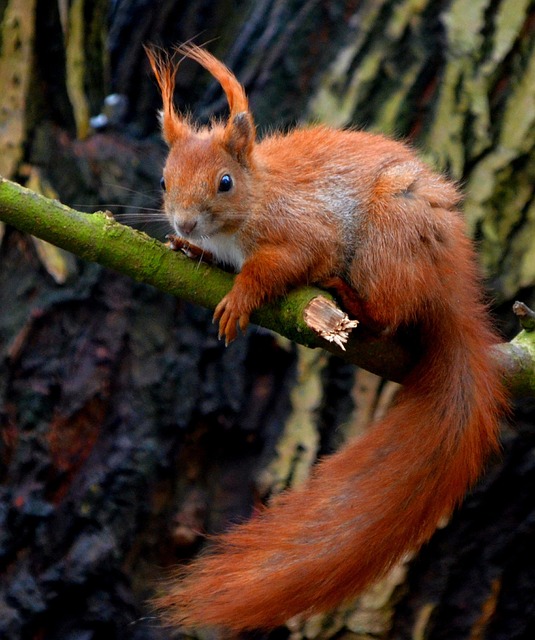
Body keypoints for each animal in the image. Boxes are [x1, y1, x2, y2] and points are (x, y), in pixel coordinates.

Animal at [146, 44, 508, 632]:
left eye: (224, 182)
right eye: (163, 180)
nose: (185, 224)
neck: (260, 195)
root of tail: (452, 282)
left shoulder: (304, 231)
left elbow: (279, 266)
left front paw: (240, 297)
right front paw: (190, 251)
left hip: (389, 239)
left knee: (387, 315)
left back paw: (351, 297)